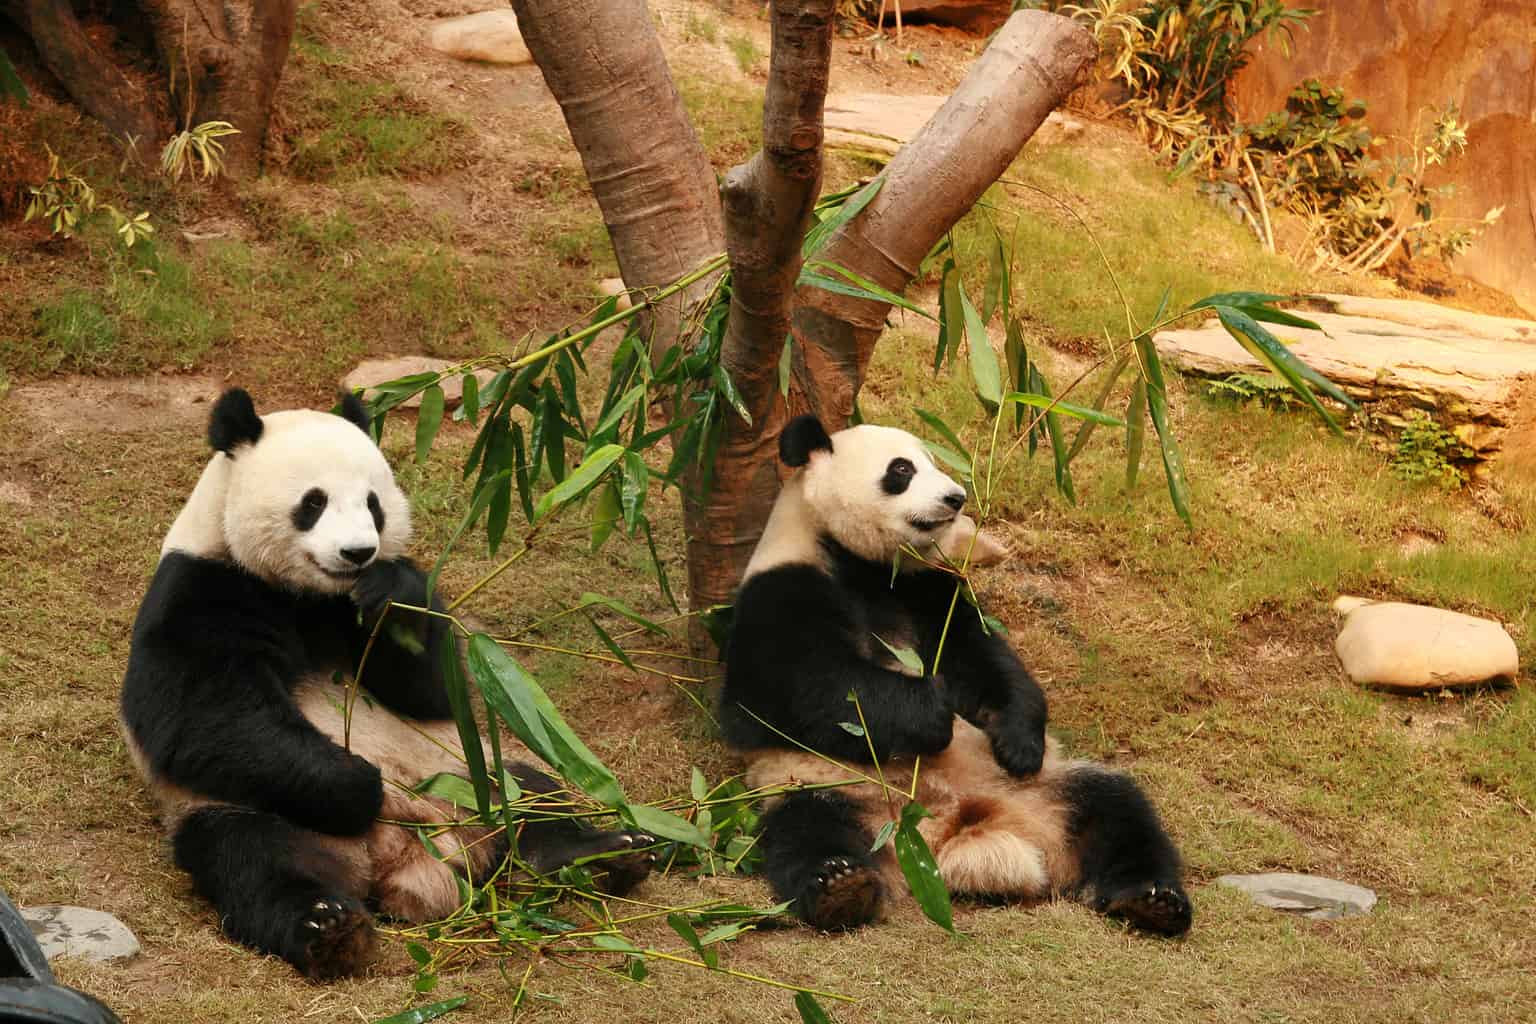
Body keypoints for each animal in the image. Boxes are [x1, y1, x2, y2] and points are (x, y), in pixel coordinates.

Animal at [120, 389, 656, 979]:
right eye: (313, 502)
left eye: (373, 503)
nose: (358, 553)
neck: (311, 595)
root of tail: (404, 858)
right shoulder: (202, 587)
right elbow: (201, 718)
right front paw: (361, 783)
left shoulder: (386, 608)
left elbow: (435, 688)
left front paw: (387, 594)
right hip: (255, 811)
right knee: (255, 860)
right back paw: (330, 928)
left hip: (463, 772)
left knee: (530, 798)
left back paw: (608, 852)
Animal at [721, 414, 1191, 936]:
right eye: (901, 469)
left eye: (933, 460)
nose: (956, 497)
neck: (859, 562)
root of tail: (951, 828)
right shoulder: (782, 589)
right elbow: (798, 691)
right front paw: (932, 715)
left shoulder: (924, 590)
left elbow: (981, 656)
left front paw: (1019, 742)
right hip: (828, 788)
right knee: (808, 831)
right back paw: (841, 888)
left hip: (1048, 789)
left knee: (1118, 812)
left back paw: (1152, 900)